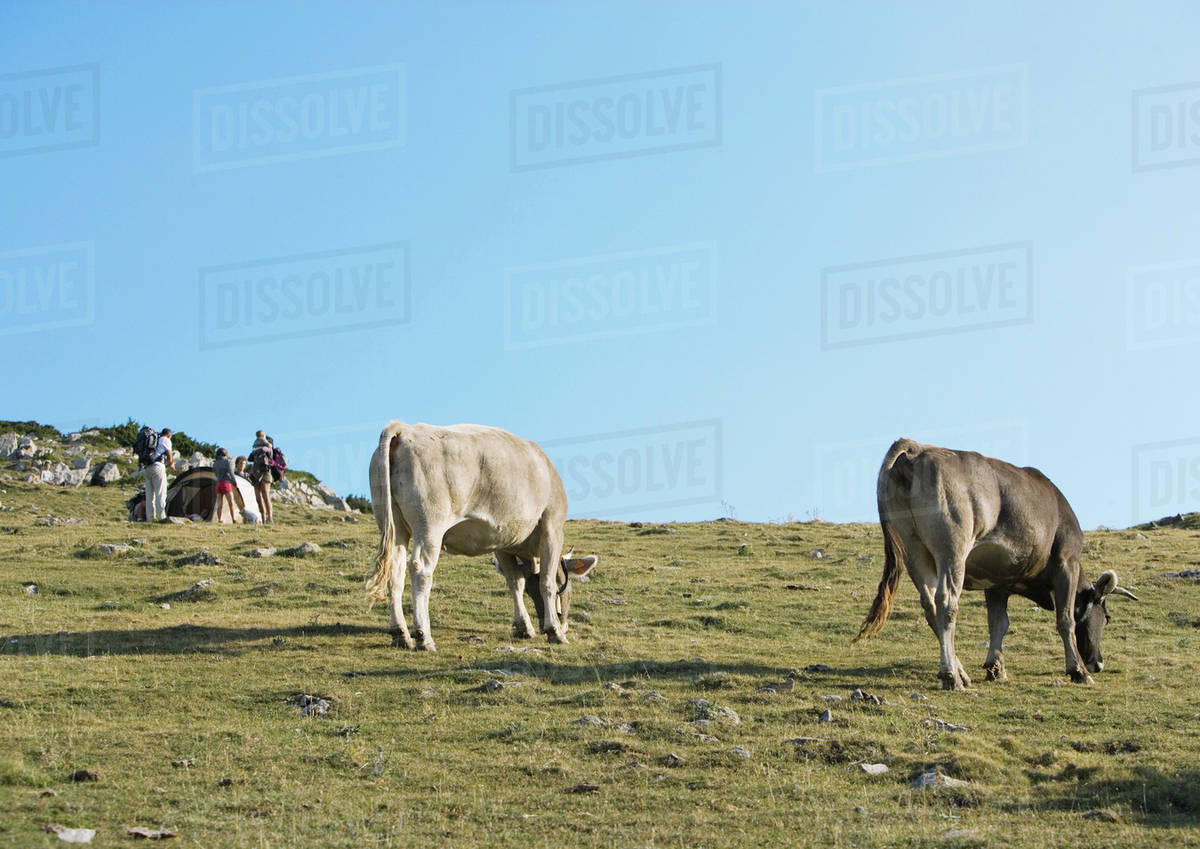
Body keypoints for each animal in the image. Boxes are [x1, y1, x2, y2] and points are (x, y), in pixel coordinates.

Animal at [366, 421, 598, 651]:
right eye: (567, 590)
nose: (562, 624)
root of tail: (404, 428)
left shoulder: (502, 542)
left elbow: (515, 582)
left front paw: (524, 627)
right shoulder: (552, 526)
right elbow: (547, 582)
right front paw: (555, 631)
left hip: (393, 524)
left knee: (395, 570)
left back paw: (400, 634)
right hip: (430, 525)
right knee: (420, 570)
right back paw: (424, 636)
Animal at [854, 439, 1137, 690]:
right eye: (1107, 617)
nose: (1098, 664)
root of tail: (916, 449)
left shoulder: (997, 582)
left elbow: (999, 624)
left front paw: (996, 668)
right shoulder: (1066, 562)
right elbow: (1065, 618)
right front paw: (1077, 671)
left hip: (912, 548)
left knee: (930, 604)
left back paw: (961, 673)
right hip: (952, 547)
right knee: (946, 603)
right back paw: (951, 676)